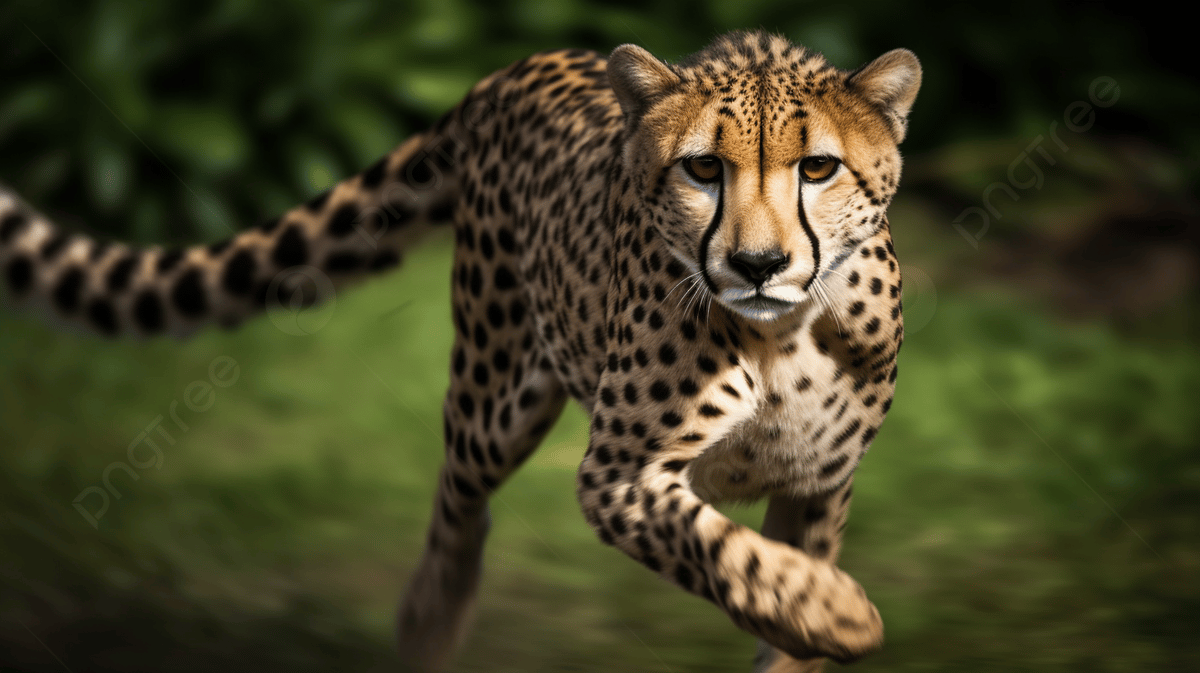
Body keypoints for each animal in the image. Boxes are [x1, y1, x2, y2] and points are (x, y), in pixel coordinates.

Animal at [0, 30, 920, 673]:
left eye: (817, 168)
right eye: (702, 169)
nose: (758, 264)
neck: (782, 336)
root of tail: (514, 67)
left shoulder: (819, 483)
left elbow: (779, 594)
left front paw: (809, 625)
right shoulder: (619, 475)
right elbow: (725, 548)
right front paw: (839, 613)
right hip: (497, 392)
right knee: (457, 493)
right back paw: (429, 622)